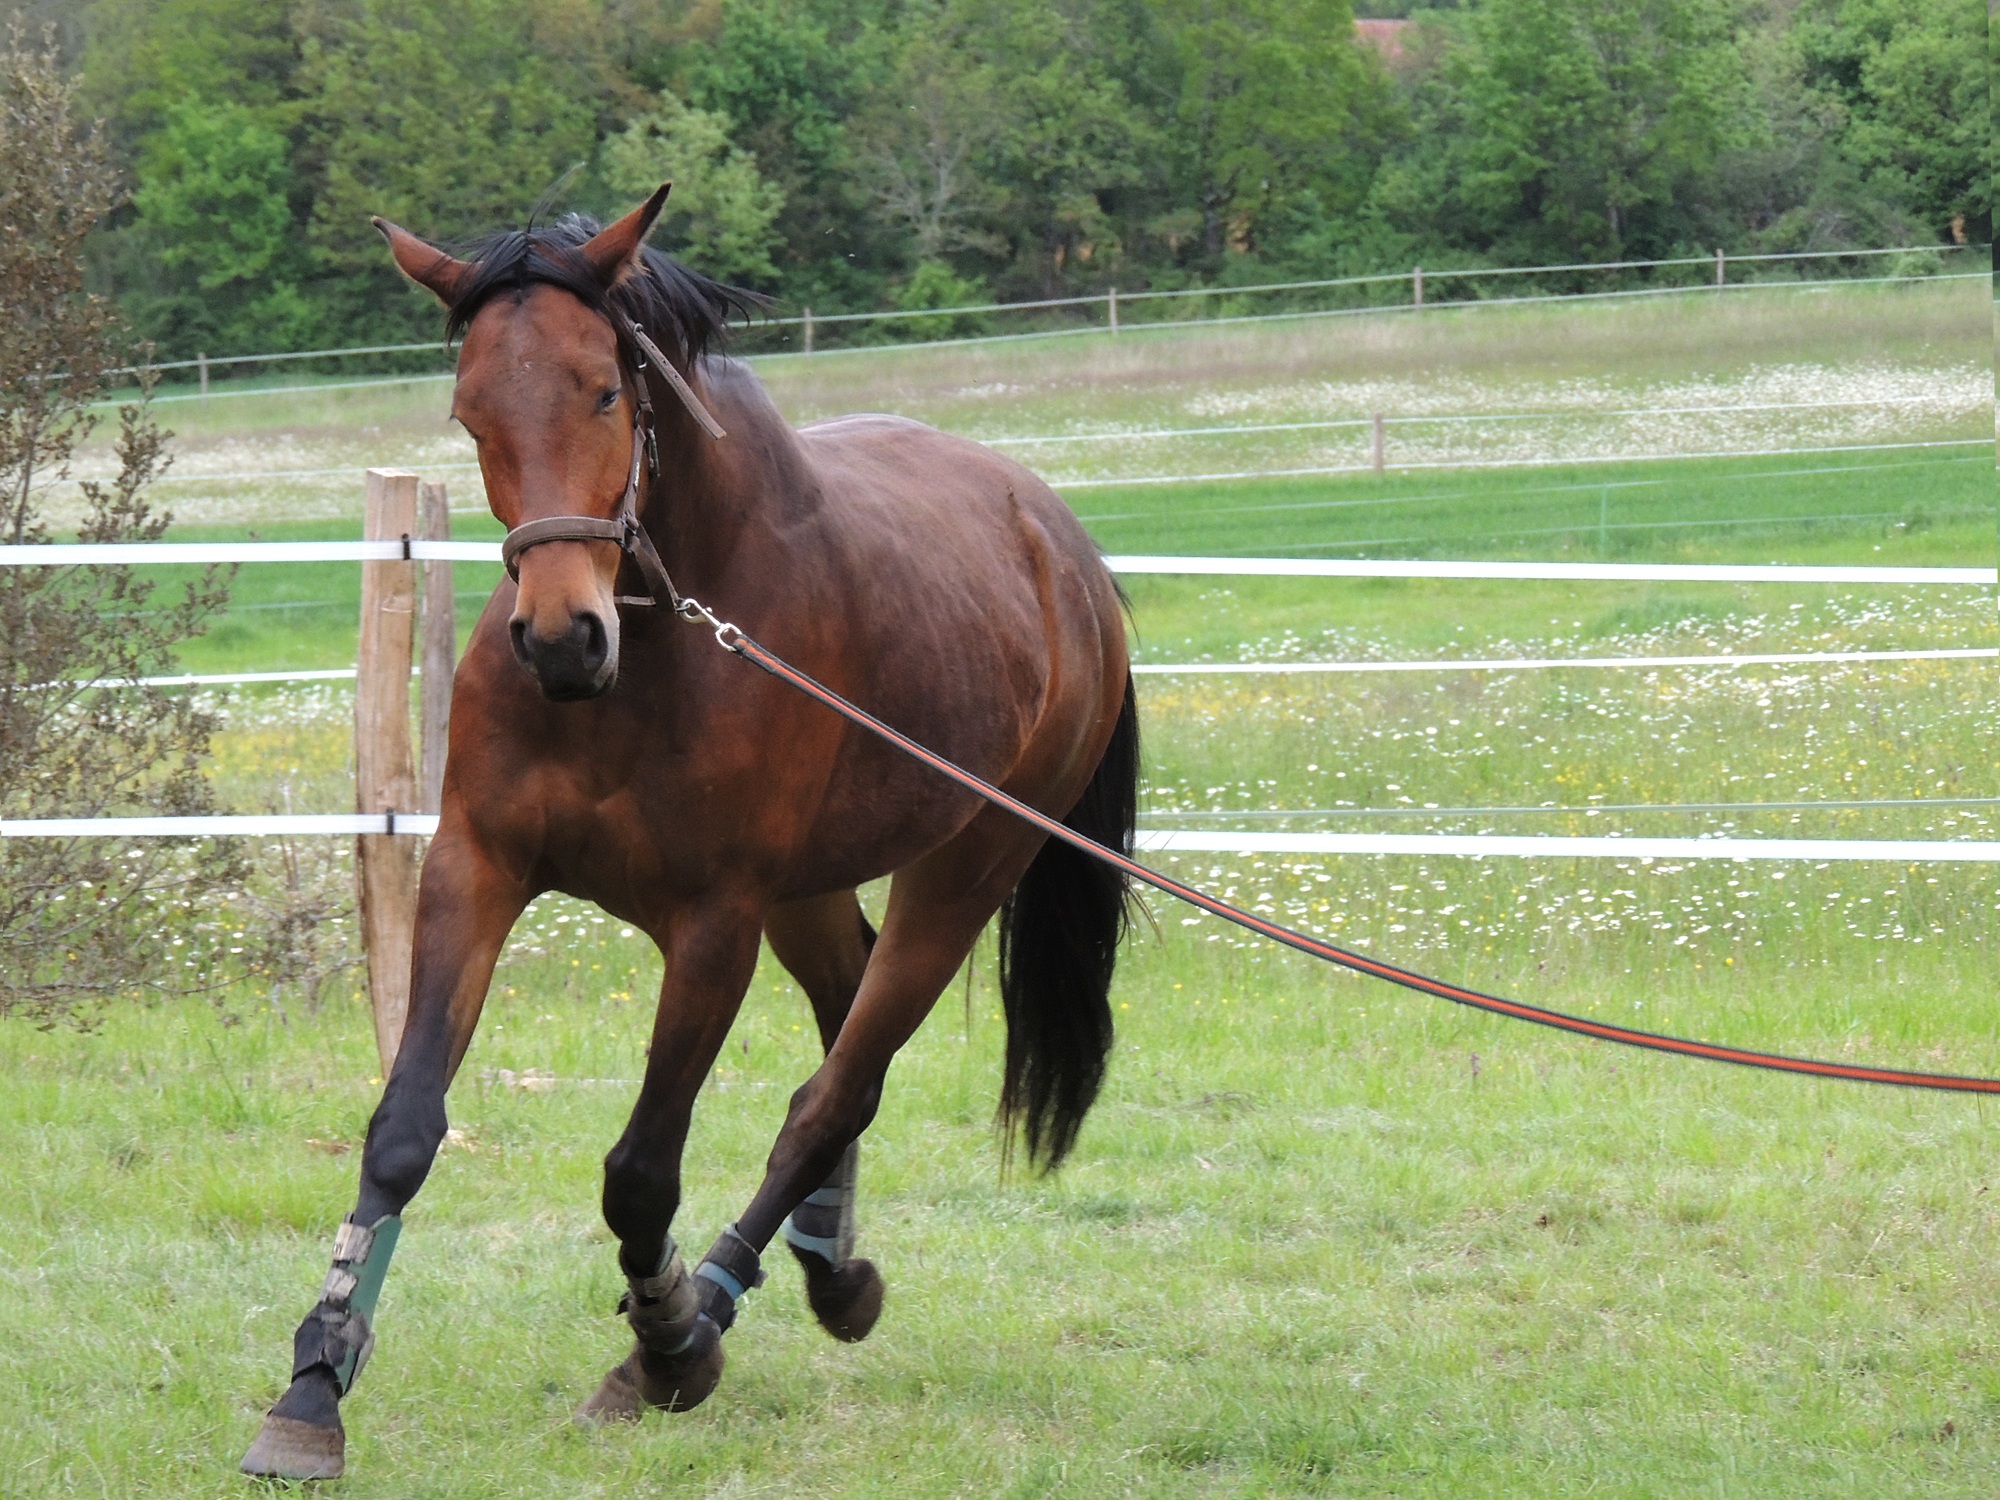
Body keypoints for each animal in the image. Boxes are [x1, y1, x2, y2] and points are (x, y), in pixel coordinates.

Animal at [240, 185, 1139, 1481]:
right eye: (468, 409)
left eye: (603, 392)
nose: (560, 638)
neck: (648, 655)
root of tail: (1063, 547)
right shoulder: (475, 869)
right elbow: (403, 1129)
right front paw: (313, 1386)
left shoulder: (712, 928)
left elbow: (638, 1174)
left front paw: (666, 1342)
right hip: (811, 893)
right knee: (843, 1031)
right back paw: (828, 1266)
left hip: (964, 871)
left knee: (834, 1090)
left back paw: (712, 1302)